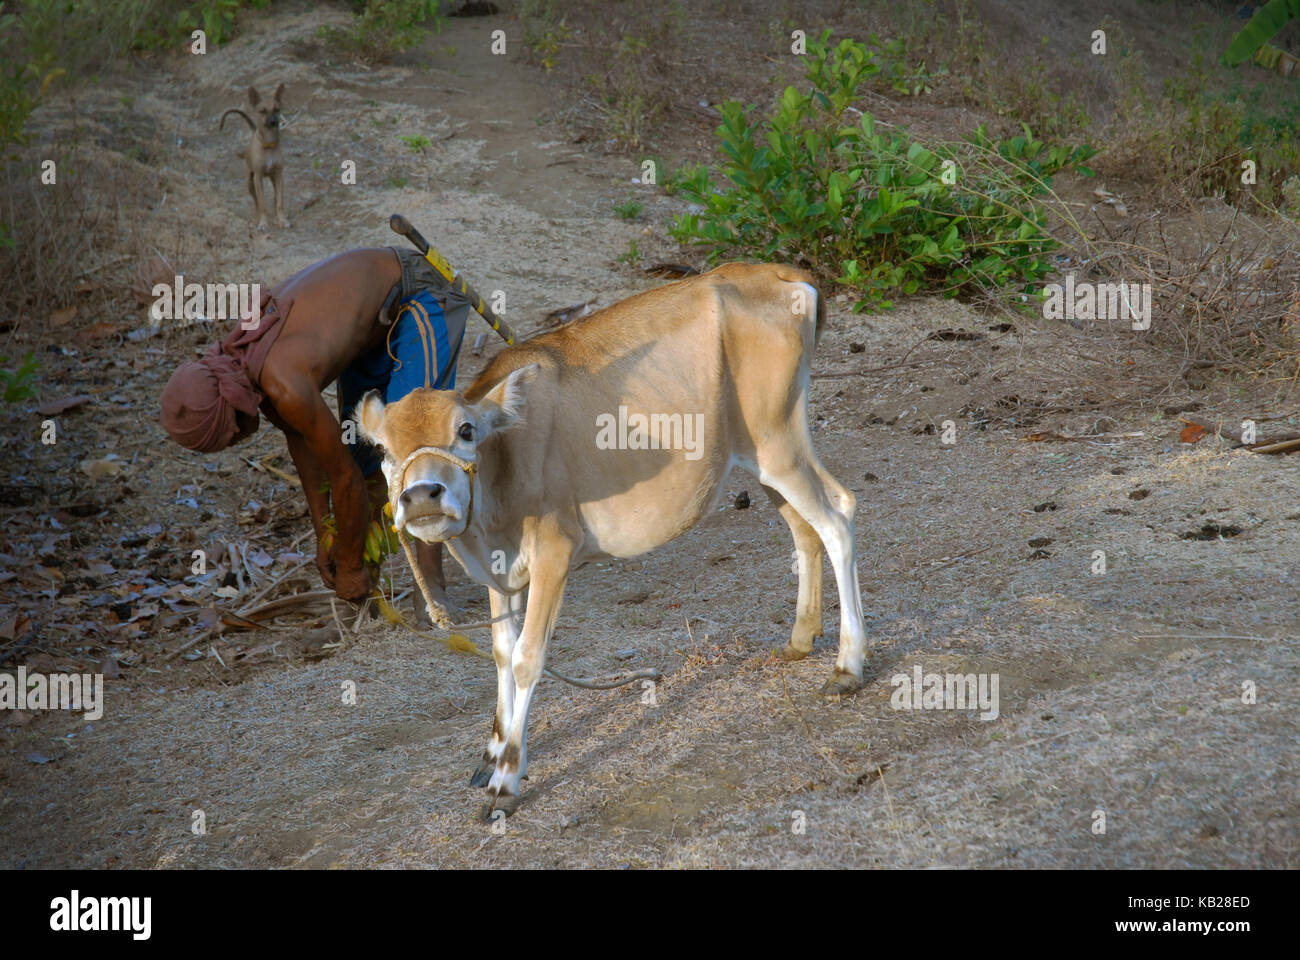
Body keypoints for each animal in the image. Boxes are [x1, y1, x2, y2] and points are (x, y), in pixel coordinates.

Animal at [356, 262, 869, 813]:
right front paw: (492, 752)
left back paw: (848, 666)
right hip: (759, 454)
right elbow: (500, 653)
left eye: (466, 430)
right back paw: (800, 640)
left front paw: (507, 777)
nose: (423, 496)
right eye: (383, 449)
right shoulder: (499, 572)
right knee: (804, 529)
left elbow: (527, 658)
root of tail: (779, 272)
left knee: (838, 516)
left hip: (780, 443)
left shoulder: (553, 553)